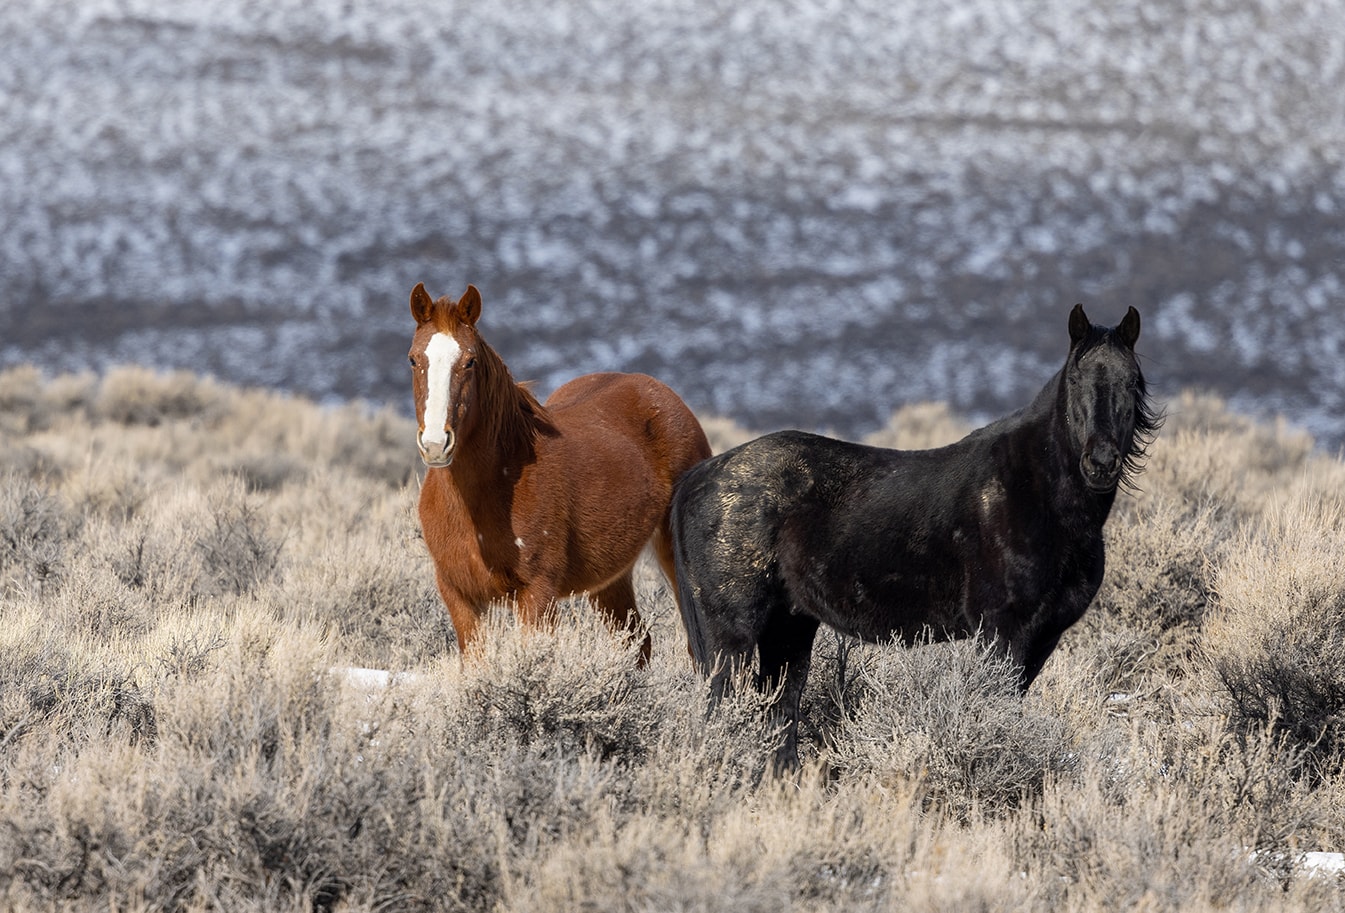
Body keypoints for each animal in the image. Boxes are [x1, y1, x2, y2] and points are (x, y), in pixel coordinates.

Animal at [408, 283, 712, 663]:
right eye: (413, 359)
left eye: (470, 361)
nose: (436, 443)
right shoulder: (459, 597)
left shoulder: (538, 595)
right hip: (611, 578)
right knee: (635, 640)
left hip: (674, 557)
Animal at [670, 304, 1160, 772]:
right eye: (1076, 378)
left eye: (1131, 381)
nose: (1101, 463)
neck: (1035, 493)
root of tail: (700, 476)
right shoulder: (1002, 633)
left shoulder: (1042, 638)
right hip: (733, 637)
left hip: (788, 630)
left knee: (780, 723)